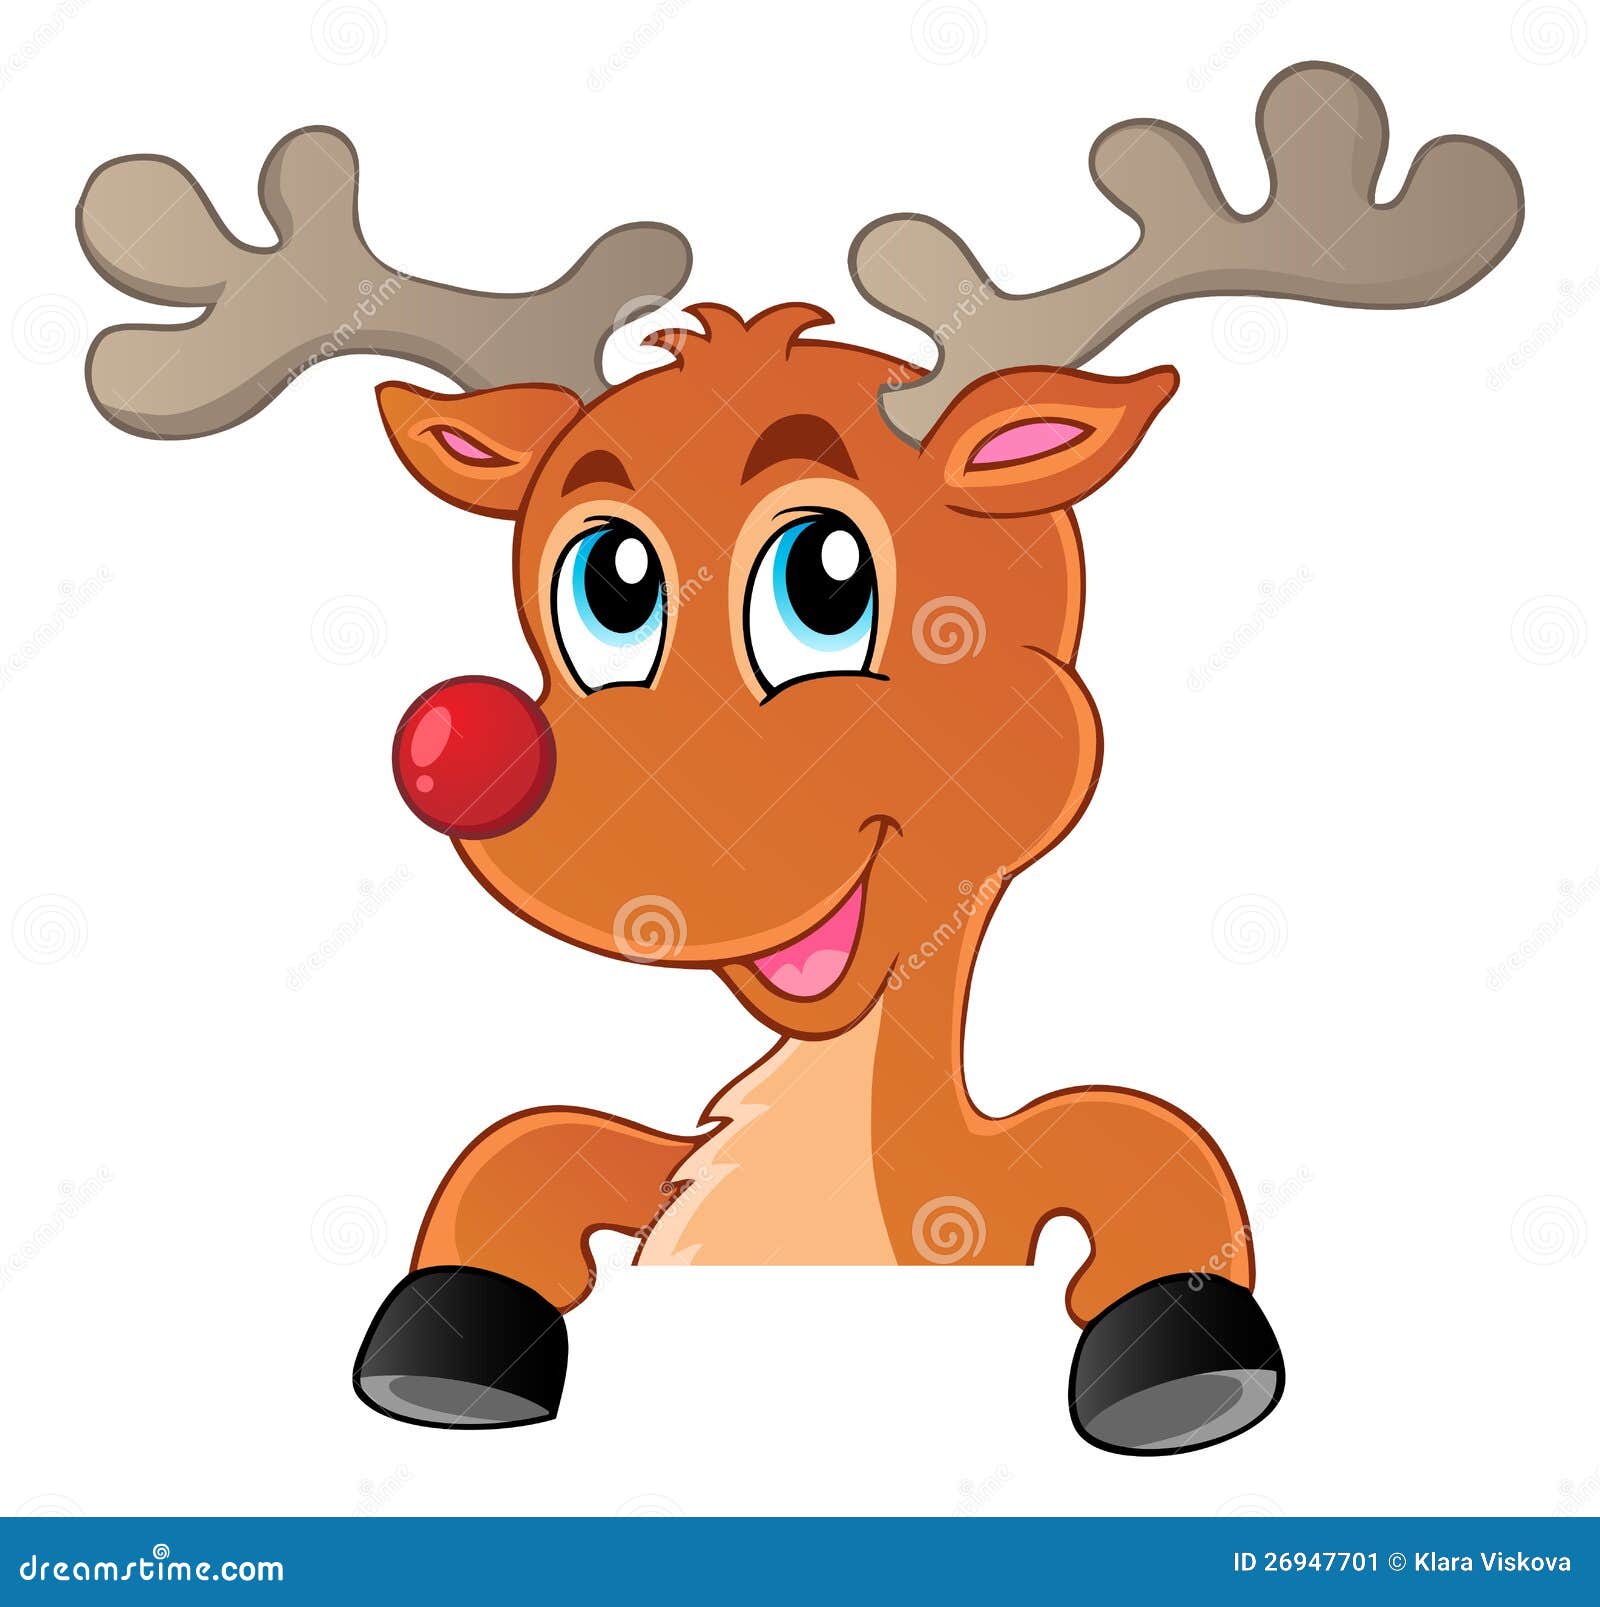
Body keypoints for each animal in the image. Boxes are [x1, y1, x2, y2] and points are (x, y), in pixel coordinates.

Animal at [78, 62, 1521, 1454]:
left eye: (826, 579)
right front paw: (454, 1335)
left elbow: (1144, 1140)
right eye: (611, 582)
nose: (464, 758)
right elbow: (528, 1145)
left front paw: (1183, 1351)